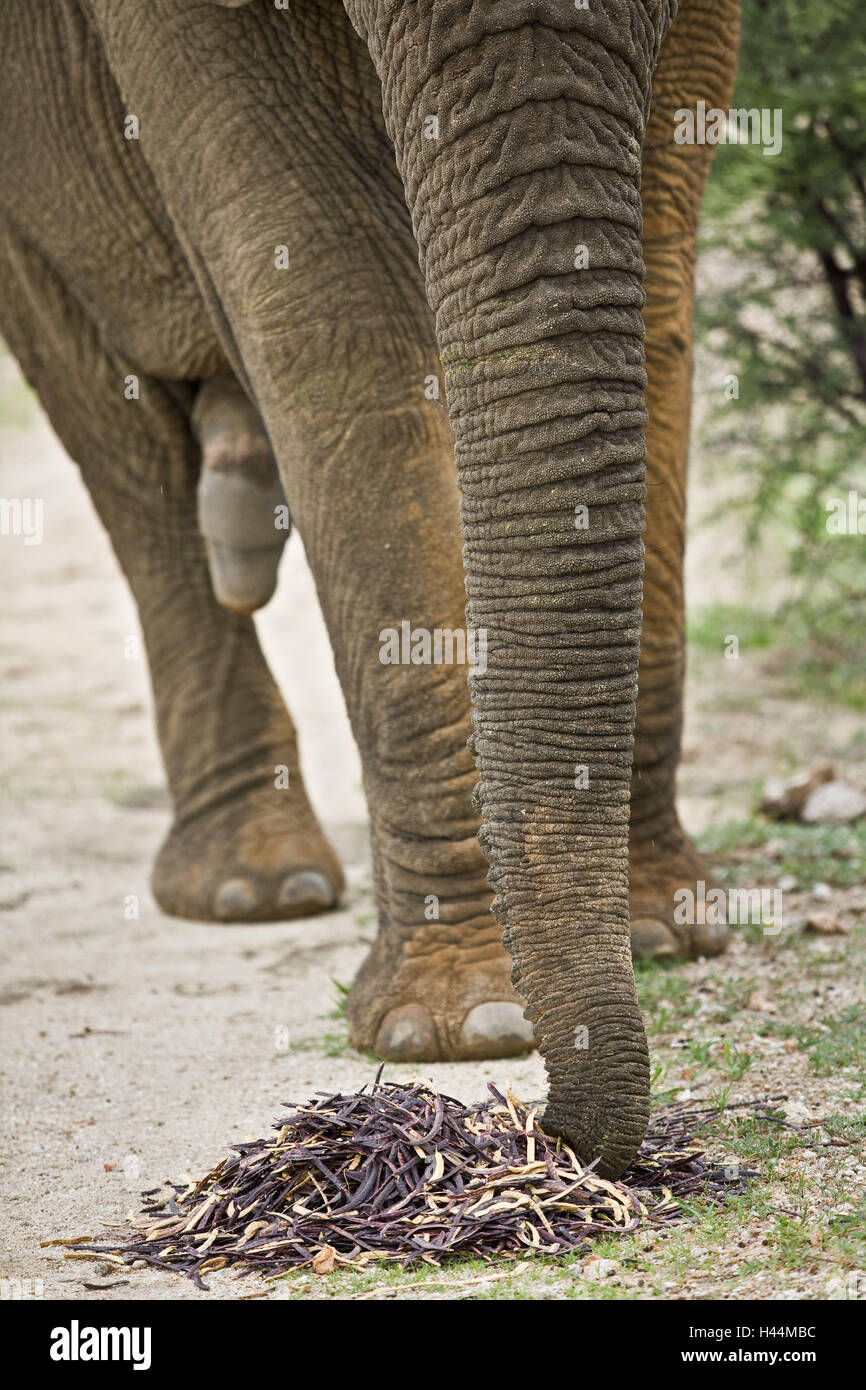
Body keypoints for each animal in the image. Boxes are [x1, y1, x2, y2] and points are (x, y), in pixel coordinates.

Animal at [0, 0, 742, 1177]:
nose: (553, 1130)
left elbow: (663, 271)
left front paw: (669, 932)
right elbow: (332, 306)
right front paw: (469, 1024)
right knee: (110, 420)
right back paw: (256, 890)